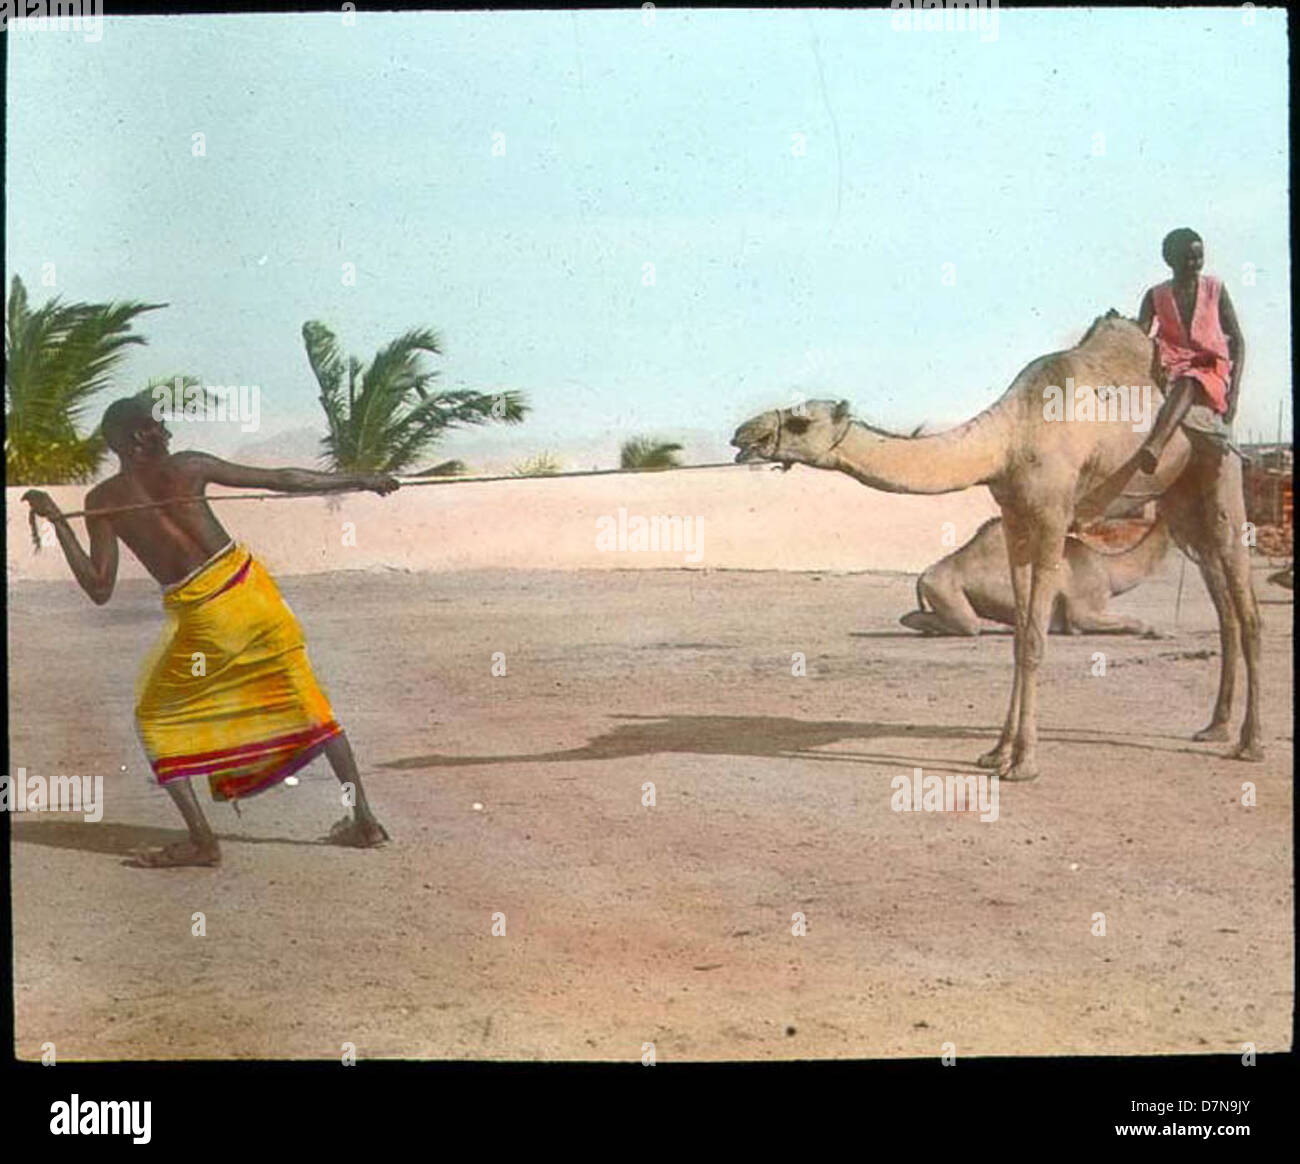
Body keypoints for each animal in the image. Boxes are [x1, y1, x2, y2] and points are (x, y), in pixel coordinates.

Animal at [900, 515, 1171, 636]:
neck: (1108, 567)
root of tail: (923, 575)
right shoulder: (1084, 609)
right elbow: (1133, 622)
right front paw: (1159, 632)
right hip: (945, 590)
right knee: (969, 624)